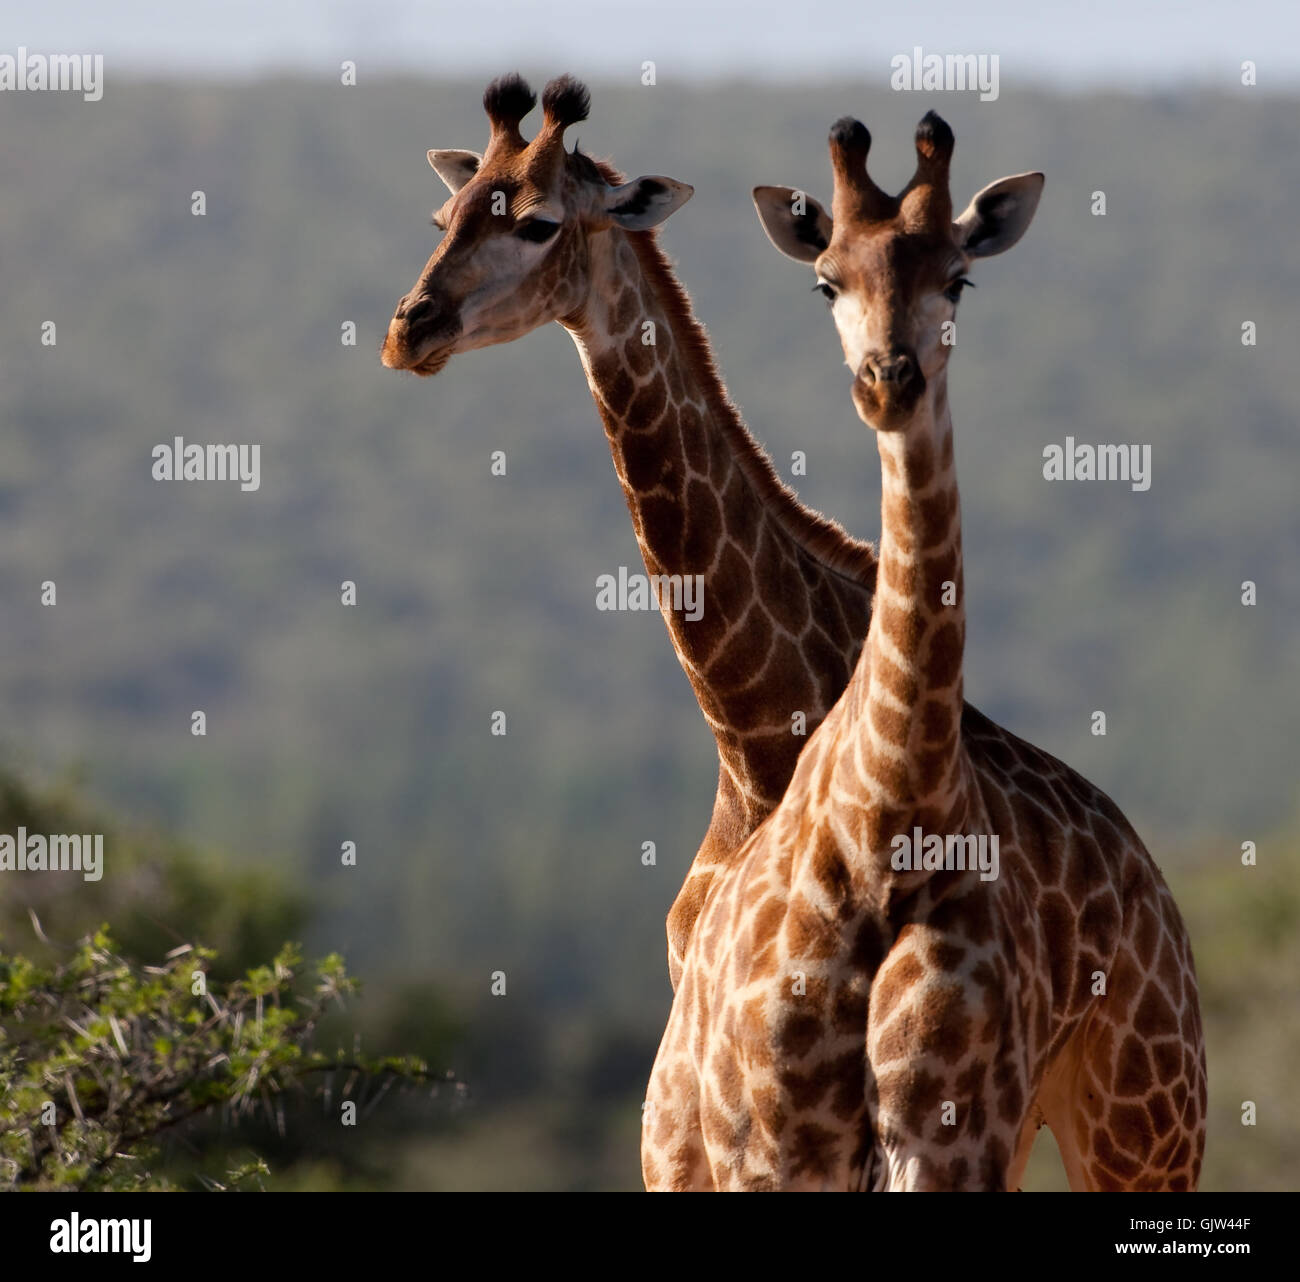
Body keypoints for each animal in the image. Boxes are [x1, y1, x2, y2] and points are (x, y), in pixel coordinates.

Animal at [642, 112, 1206, 1191]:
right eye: (827, 280)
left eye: (959, 277)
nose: (888, 379)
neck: (891, 815)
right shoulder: (779, 1147)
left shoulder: (949, 1133)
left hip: (1143, 1121)